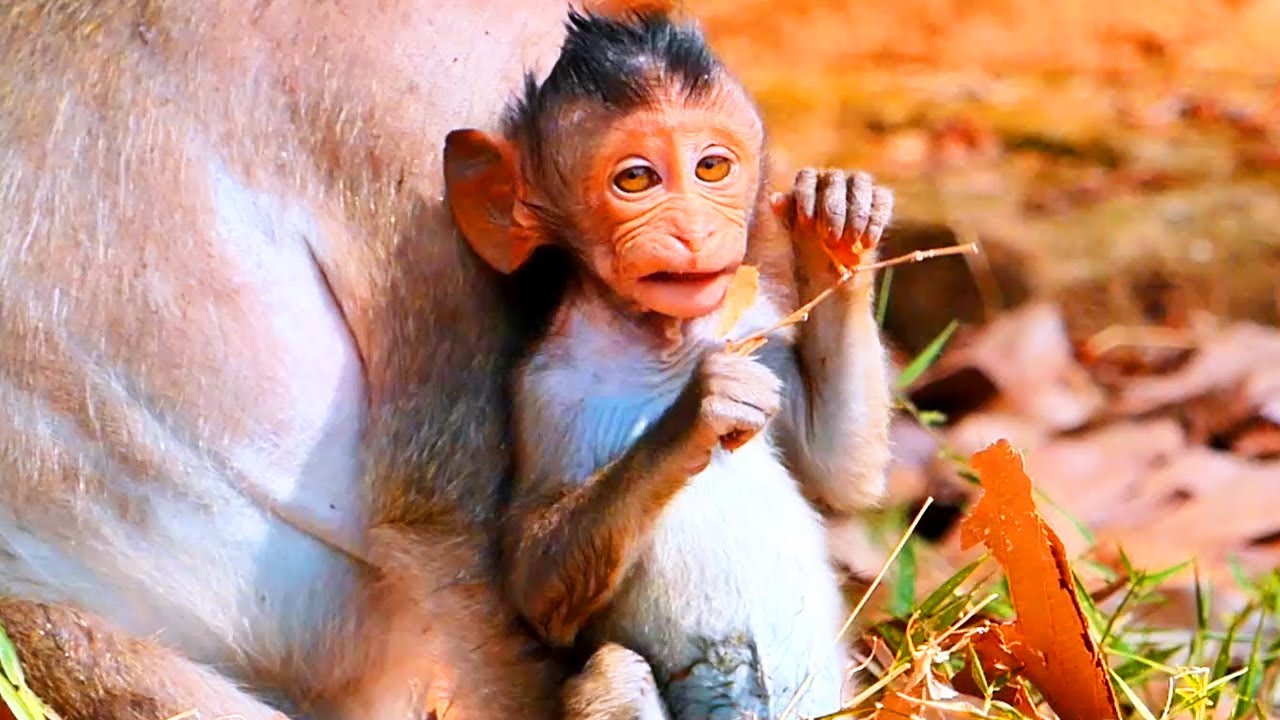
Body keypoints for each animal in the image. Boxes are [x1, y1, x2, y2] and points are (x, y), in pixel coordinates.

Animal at [443, 10, 895, 719]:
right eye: (636, 179)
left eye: (711, 167)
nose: (693, 230)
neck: (662, 340)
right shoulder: (543, 389)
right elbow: (528, 578)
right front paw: (699, 409)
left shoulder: (755, 320)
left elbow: (838, 469)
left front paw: (836, 229)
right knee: (611, 669)